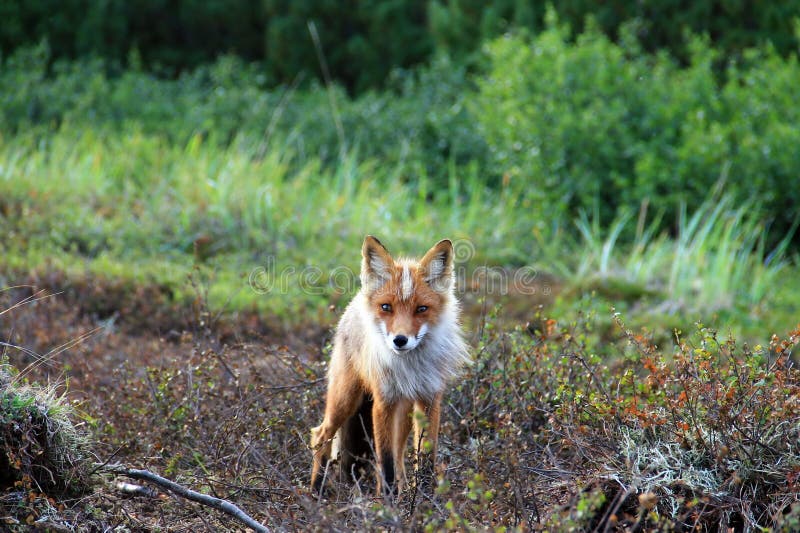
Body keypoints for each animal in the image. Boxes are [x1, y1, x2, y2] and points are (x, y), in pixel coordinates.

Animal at [310, 236, 470, 497]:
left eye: (421, 309)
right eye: (386, 307)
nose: (400, 340)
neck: (409, 368)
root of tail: (355, 301)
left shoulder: (430, 400)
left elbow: (425, 456)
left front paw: (424, 499)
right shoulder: (383, 401)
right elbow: (384, 461)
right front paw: (385, 501)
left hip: (404, 411)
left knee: (399, 453)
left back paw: (403, 490)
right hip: (345, 398)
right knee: (321, 434)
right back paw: (315, 490)